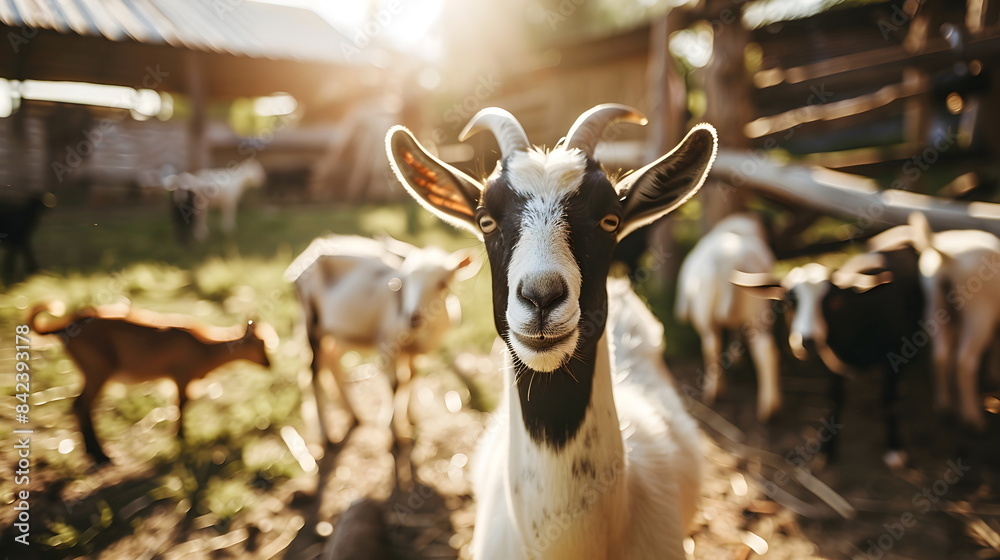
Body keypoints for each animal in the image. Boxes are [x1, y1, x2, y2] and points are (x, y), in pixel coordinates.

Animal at [27, 302, 273, 465]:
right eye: (260, 343)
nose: (269, 363)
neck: (204, 348)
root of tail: (65, 328)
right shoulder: (181, 376)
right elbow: (181, 405)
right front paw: (181, 438)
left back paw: (94, 453)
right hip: (97, 369)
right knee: (81, 405)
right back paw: (100, 455)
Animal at [285, 235, 473, 445]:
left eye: (443, 282)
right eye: (405, 279)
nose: (412, 318)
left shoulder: (412, 351)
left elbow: (410, 377)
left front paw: (411, 418)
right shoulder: (387, 342)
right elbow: (395, 384)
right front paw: (393, 430)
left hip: (334, 331)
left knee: (331, 362)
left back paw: (353, 414)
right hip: (310, 320)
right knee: (313, 371)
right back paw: (325, 432)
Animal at [676, 213, 782, 420]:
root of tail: (734, 261)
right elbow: (736, 334)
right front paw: (736, 357)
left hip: (706, 314)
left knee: (712, 346)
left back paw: (714, 391)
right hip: (757, 310)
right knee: (767, 352)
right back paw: (769, 408)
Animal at [734, 245, 924, 468]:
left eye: (833, 301)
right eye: (790, 301)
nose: (808, 341)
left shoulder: (894, 355)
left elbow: (889, 400)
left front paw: (895, 450)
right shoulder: (830, 362)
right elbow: (834, 398)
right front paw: (827, 451)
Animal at [872, 213, 1000, 430]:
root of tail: (948, 256)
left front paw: (992, 374)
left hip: (934, 305)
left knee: (941, 355)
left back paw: (945, 406)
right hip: (978, 311)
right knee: (964, 360)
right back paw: (972, 419)